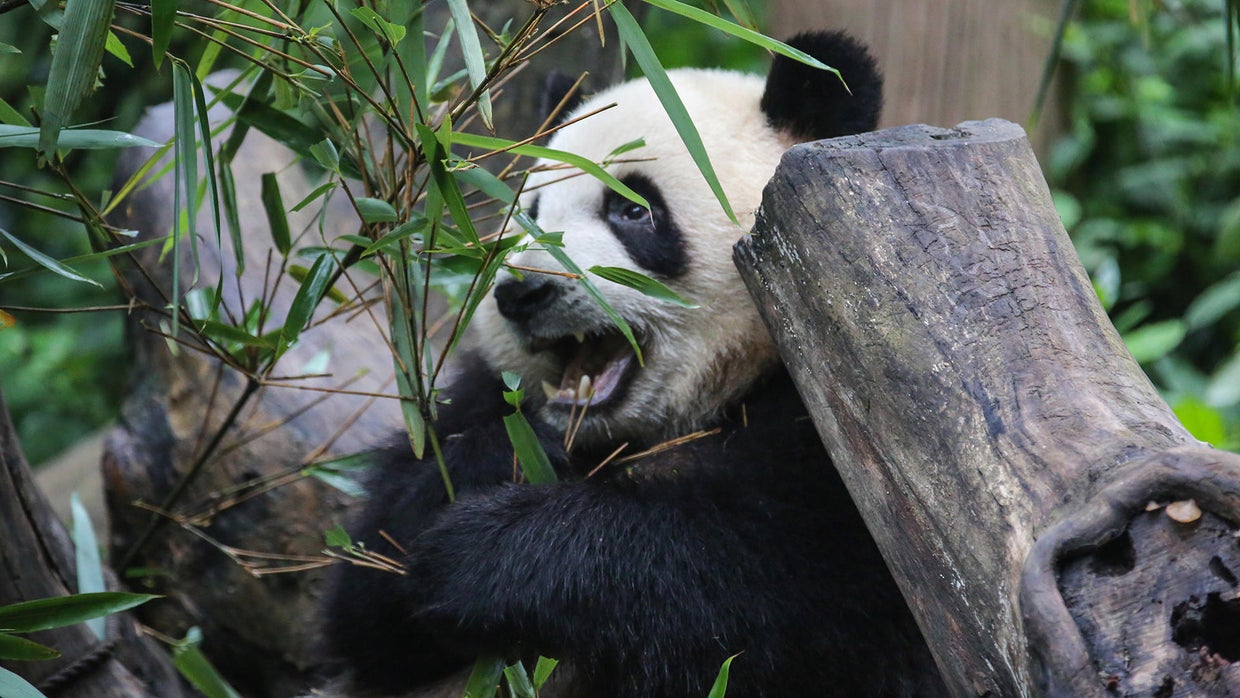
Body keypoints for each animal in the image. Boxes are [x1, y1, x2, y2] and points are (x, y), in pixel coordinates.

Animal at [321, 30, 947, 698]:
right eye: (531, 213)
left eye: (634, 210)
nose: (524, 292)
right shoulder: (479, 394)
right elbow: (366, 605)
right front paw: (510, 454)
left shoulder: (850, 426)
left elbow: (794, 593)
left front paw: (485, 556)